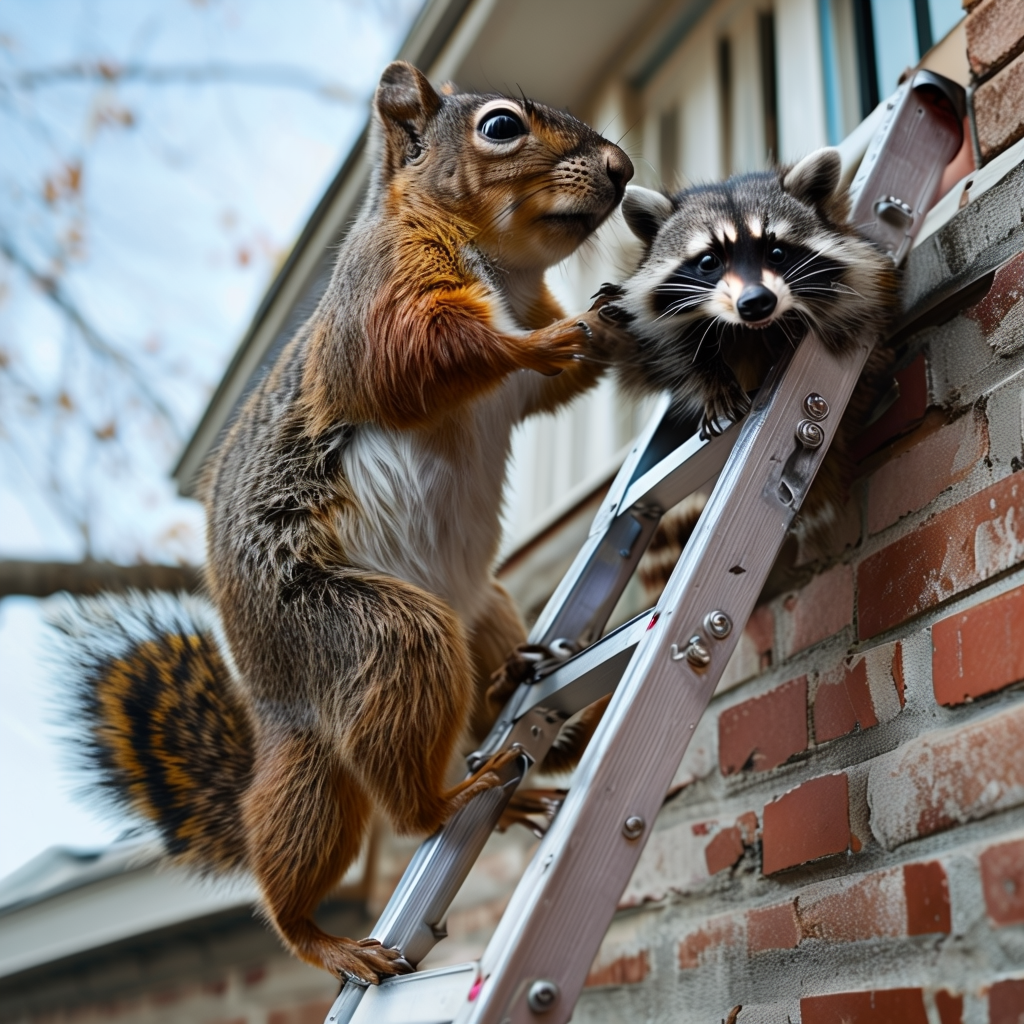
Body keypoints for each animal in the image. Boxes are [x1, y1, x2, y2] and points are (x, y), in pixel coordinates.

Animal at [54, 61, 632, 985]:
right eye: (501, 127)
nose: (621, 167)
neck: (502, 269)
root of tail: (273, 711)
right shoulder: (381, 293)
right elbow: (419, 351)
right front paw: (557, 335)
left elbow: (549, 387)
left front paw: (607, 319)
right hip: (369, 637)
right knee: (372, 820)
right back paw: (363, 898)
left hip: (484, 609)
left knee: (490, 715)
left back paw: (527, 697)